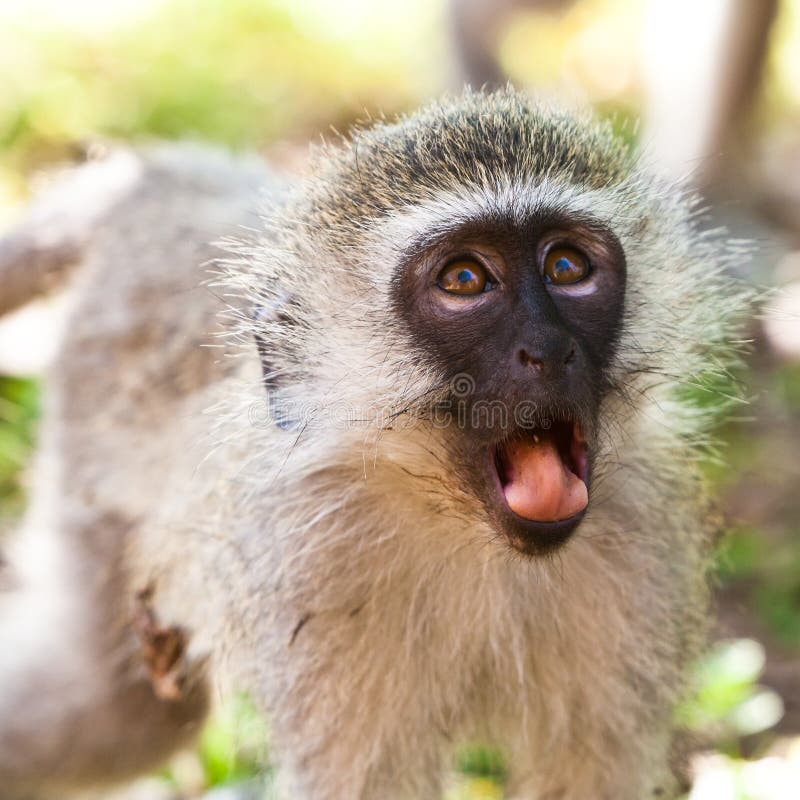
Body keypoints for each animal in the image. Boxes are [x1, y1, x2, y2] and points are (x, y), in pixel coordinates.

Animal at [0, 88, 749, 800]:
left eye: (566, 266)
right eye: (464, 280)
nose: (548, 350)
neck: (462, 525)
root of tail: (173, 184)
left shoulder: (643, 549)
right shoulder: (306, 571)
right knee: (122, 718)